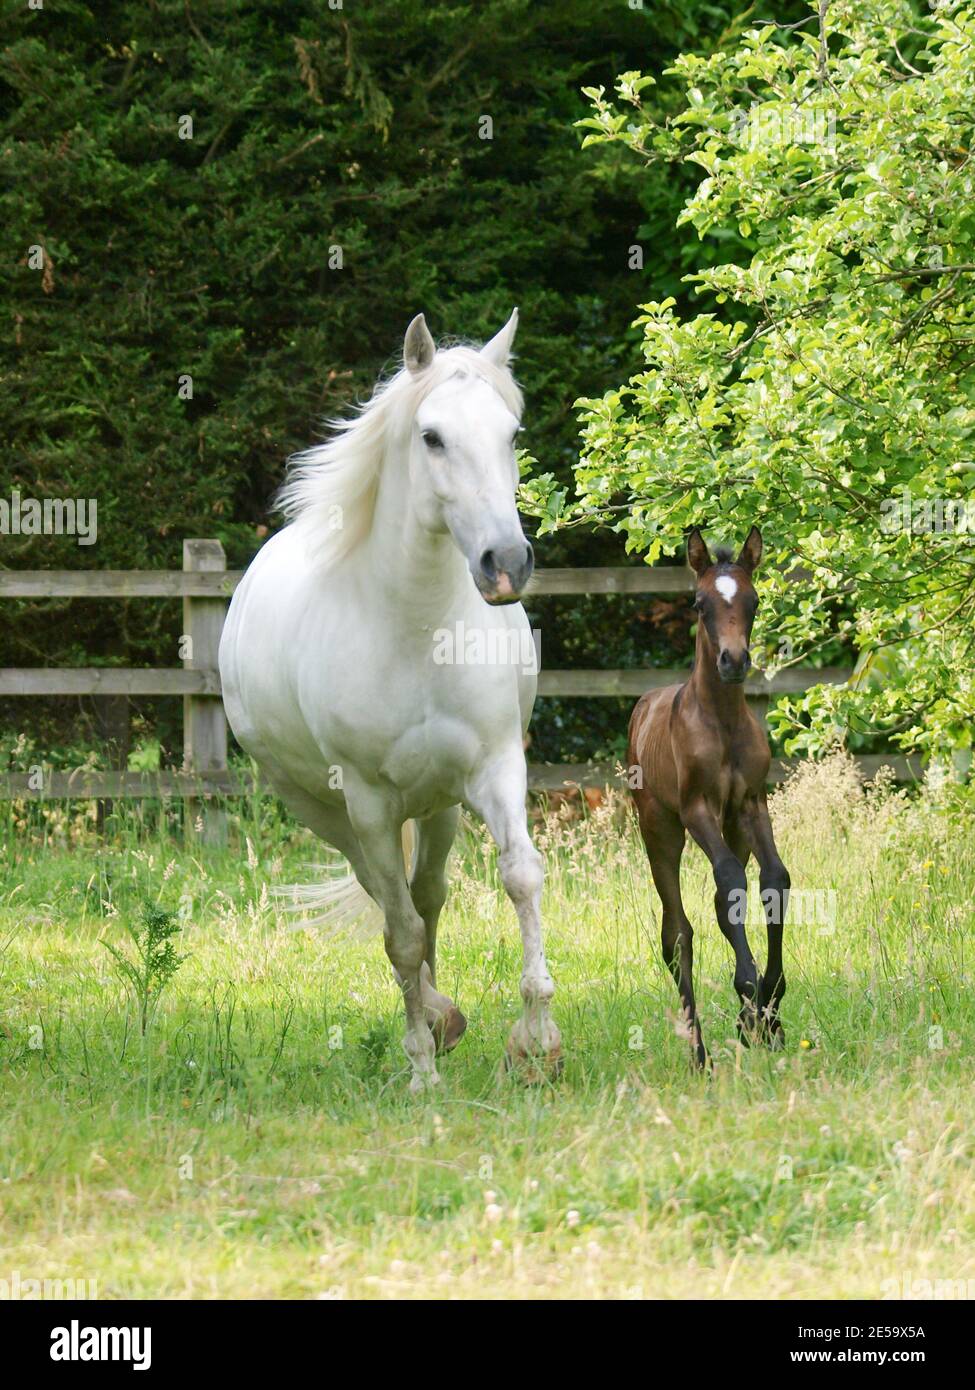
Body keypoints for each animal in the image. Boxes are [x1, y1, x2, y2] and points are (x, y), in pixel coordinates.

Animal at [219, 311, 561, 1092]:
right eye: (432, 437)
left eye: (511, 434)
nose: (506, 563)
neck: (416, 629)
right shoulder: (369, 801)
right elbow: (398, 936)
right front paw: (422, 1071)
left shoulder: (496, 767)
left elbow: (519, 877)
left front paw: (535, 1042)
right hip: (328, 811)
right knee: (386, 899)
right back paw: (434, 1021)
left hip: (438, 806)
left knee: (425, 892)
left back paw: (444, 1017)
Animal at [627, 527, 790, 1067]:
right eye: (699, 604)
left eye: (754, 601)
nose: (734, 661)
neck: (721, 722)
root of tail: (643, 705)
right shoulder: (697, 808)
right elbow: (729, 881)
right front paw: (750, 990)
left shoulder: (752, 804)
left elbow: (771, 881)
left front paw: (768, 1006)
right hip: (659, 830)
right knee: (677, 932)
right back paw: (700, 1056)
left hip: (732, 826)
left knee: (723, 902)